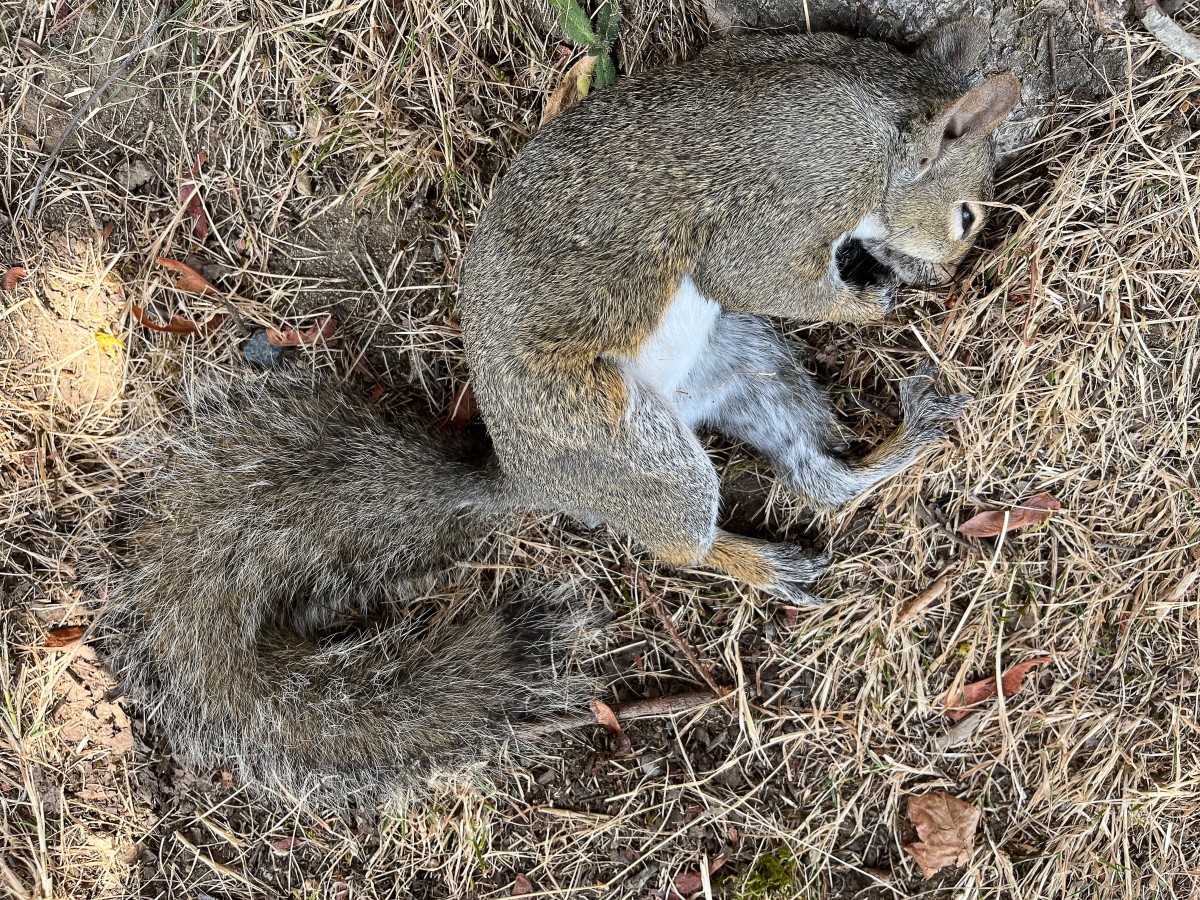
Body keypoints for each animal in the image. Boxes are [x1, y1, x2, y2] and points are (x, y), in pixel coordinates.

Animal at [101, 20, 1019, 802]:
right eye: (966, 214)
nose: (952, 275)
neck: (873, 110)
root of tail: (535, 481)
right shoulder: (795, 193)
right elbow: (756, 274)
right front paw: (874, 302)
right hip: (630, 444)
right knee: (677, 541)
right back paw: (754, 562)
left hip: (743, 362)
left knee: (814, 478)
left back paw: (898, 444)